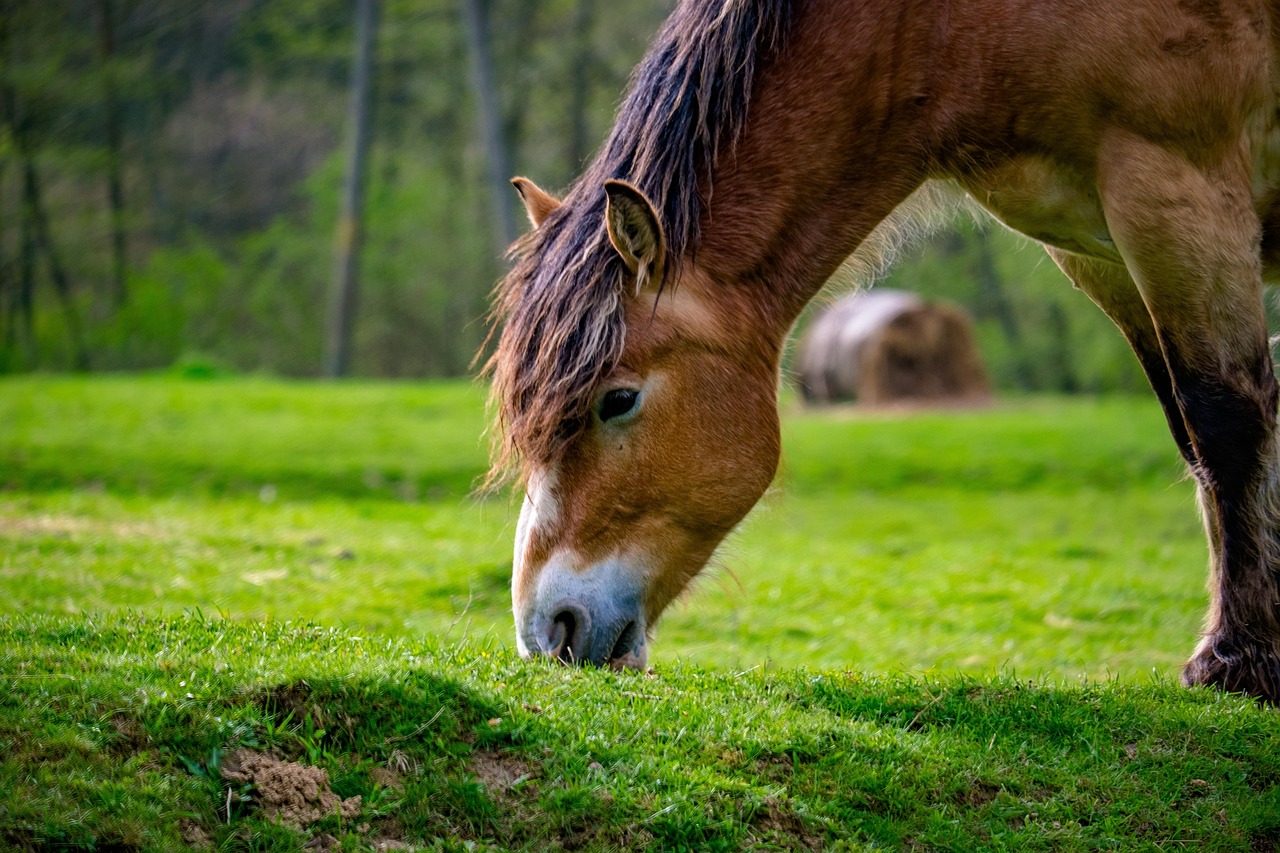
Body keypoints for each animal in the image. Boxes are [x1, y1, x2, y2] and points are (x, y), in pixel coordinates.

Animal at [487, 0, 1280, 702]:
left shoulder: (1174, 193)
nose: (545, 631)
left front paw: (1238, 661)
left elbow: (1227, 421)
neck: (952, 27)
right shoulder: (1096, 247)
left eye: (617, 399)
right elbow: (1190, 433)